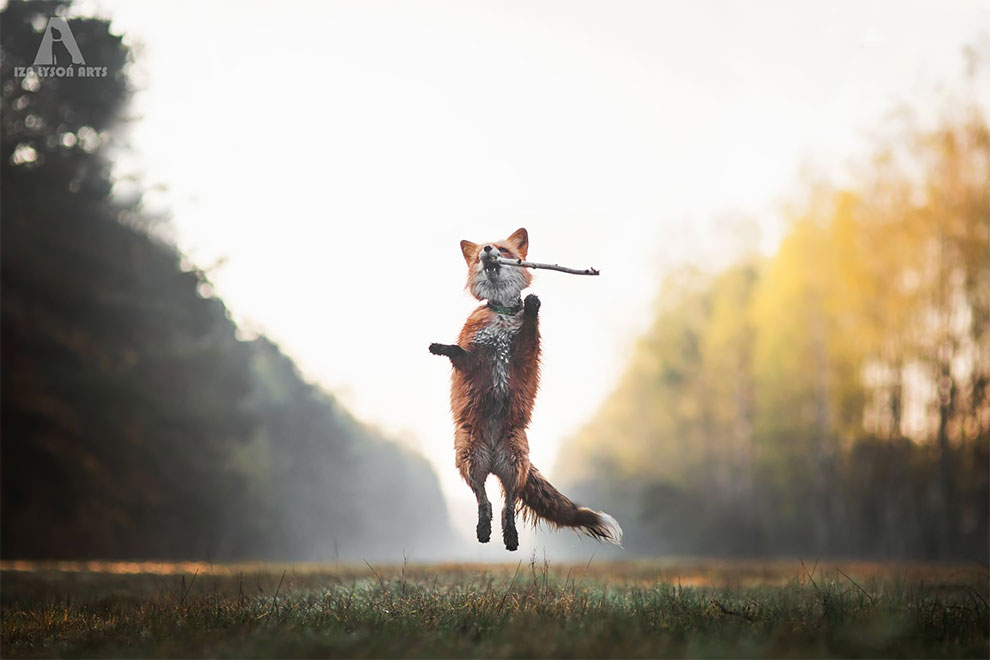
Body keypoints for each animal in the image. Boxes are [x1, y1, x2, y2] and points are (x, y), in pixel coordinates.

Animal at [429, 228, 622, 551]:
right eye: (481, 250)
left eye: (504, 250)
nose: (488, 250)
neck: (502, 314)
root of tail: (494, 457)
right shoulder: (473, 360)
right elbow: (458, 352)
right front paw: (440, 347)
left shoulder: (524, 355)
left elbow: (529, 331)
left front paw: (532, 306)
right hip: (469, 461)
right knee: (484, 501)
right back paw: (484, 530)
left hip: (515, 467)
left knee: (507, 505)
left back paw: (509, 536)